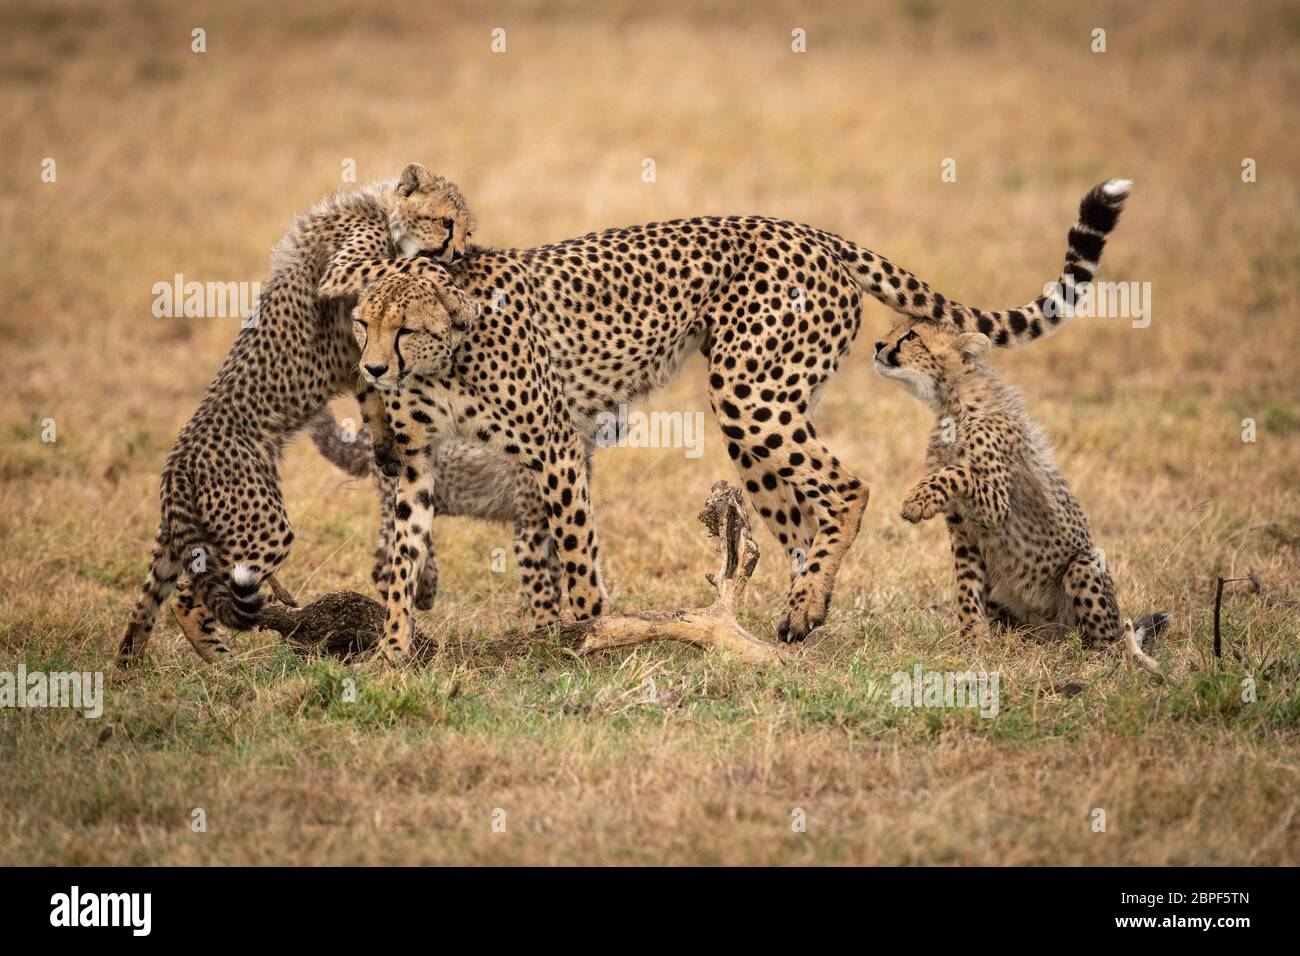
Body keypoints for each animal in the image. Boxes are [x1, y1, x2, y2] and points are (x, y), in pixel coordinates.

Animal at [116, 164, 490, 664]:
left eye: (466, 229)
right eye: (447, 222)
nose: (460, 252)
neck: (381, 209)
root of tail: (179, 460)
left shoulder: (363, 357)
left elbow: (372, 394)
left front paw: (385, 448)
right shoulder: (346, 270)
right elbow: (410, 266)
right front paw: (453, 293)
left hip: (177, 539)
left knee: (150, 598)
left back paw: (140, 661)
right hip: (263, 529)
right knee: (190, 594)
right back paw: (222, 660)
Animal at [318, 179, 1135, 659]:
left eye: (407, 329)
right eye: (362, 325)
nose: (374, 369)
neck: (445, 354)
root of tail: (807, 229)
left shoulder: (555, 447)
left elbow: (576, 552)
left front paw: (584, 636)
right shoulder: (411, 460)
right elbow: (400, 555)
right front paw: (393, 653)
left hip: (750, 394)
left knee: (849, 487)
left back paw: (799, 606)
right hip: (760, 415)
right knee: (799, 522)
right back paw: (802, 612)